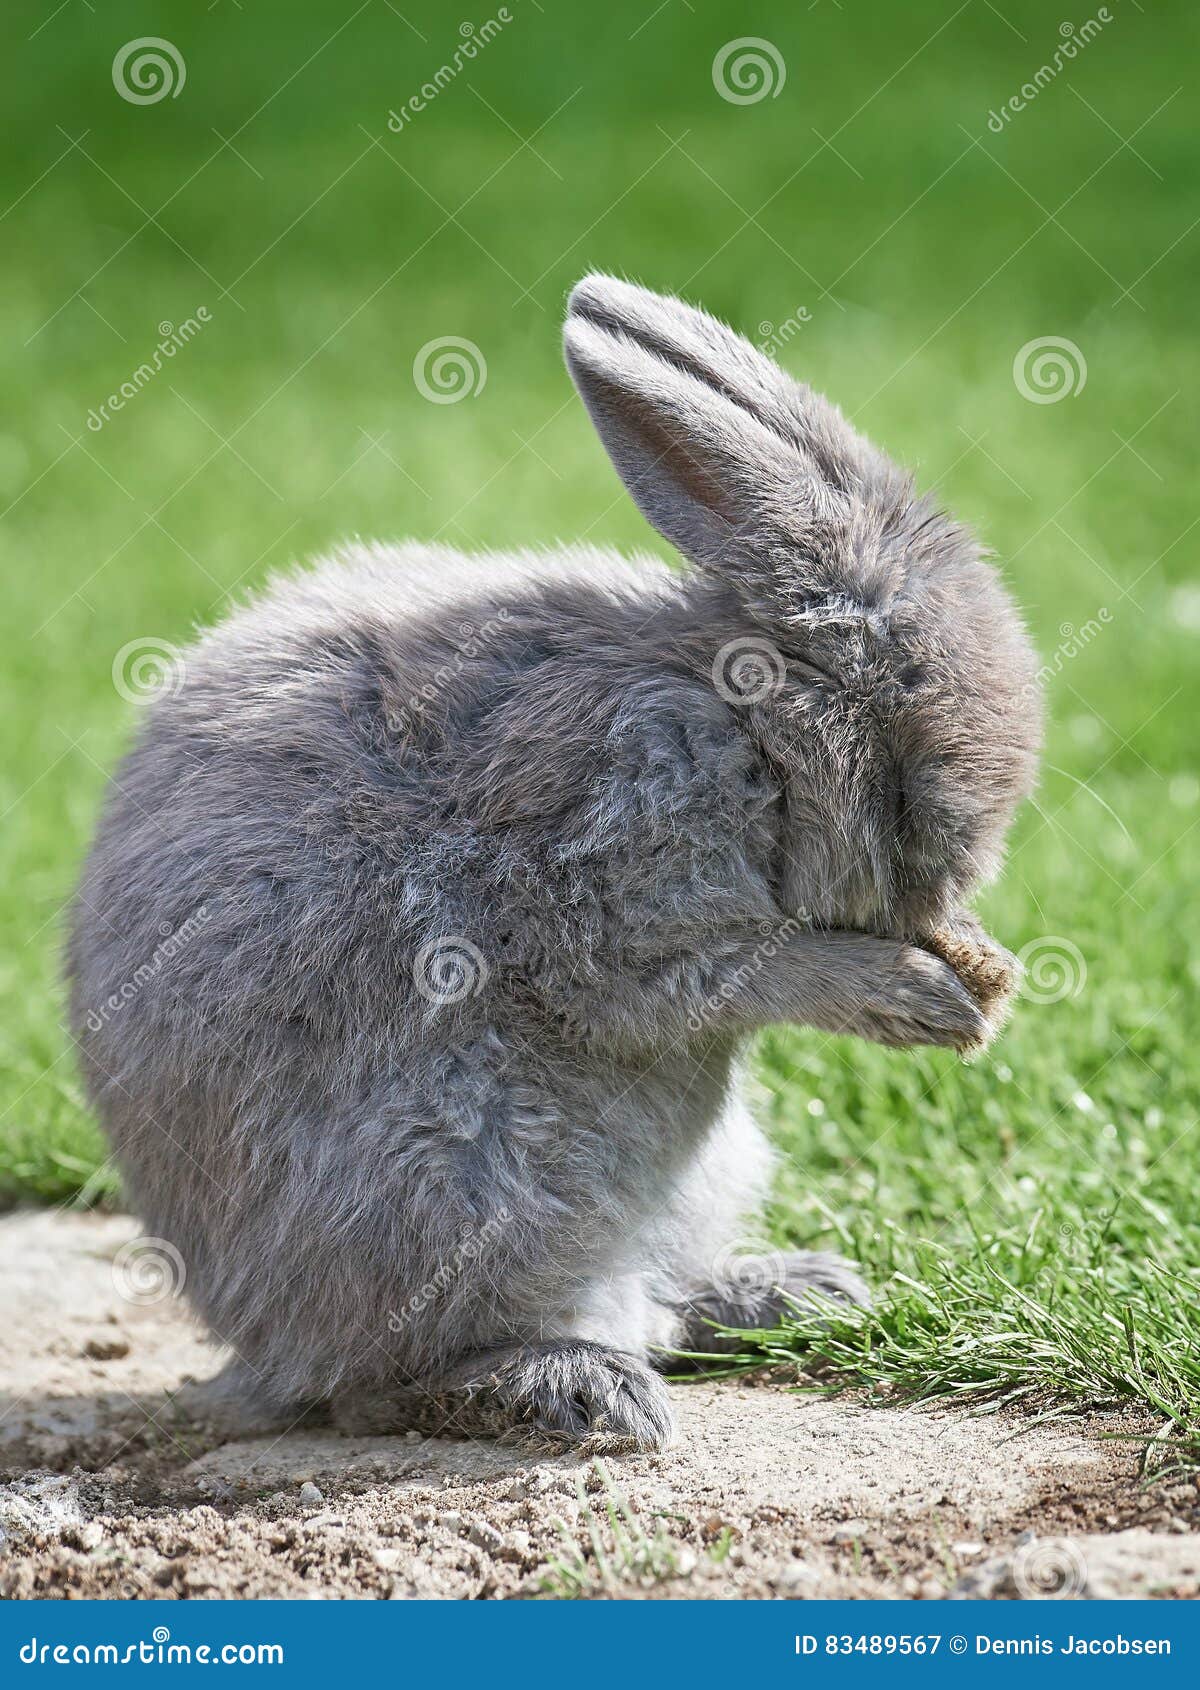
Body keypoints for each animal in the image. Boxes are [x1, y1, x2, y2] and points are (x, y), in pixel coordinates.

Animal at [67, 274, 1041, 1453]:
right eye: (908, 742)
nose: (954, 888)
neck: (746, 714)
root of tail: (258, 1345)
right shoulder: (619, 875)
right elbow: (720, 973)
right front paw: (917, 996)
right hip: (472, 1181)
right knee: (381, 1384)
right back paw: (577, 1385)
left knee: (660, 1302)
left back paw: (796, 1293)